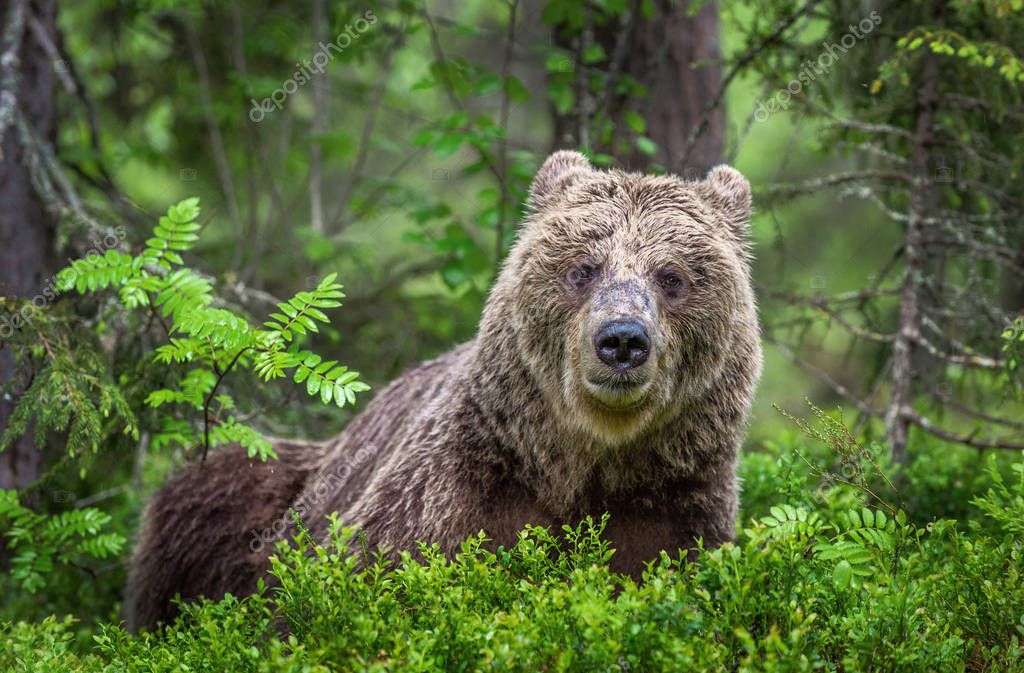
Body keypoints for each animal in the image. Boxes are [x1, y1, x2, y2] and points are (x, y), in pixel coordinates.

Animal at [126, 150, 762, 631]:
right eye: (583, 268)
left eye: (672, 276)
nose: (623, 340)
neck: (578, 463)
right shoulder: (448, 496)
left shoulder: (675, 508)